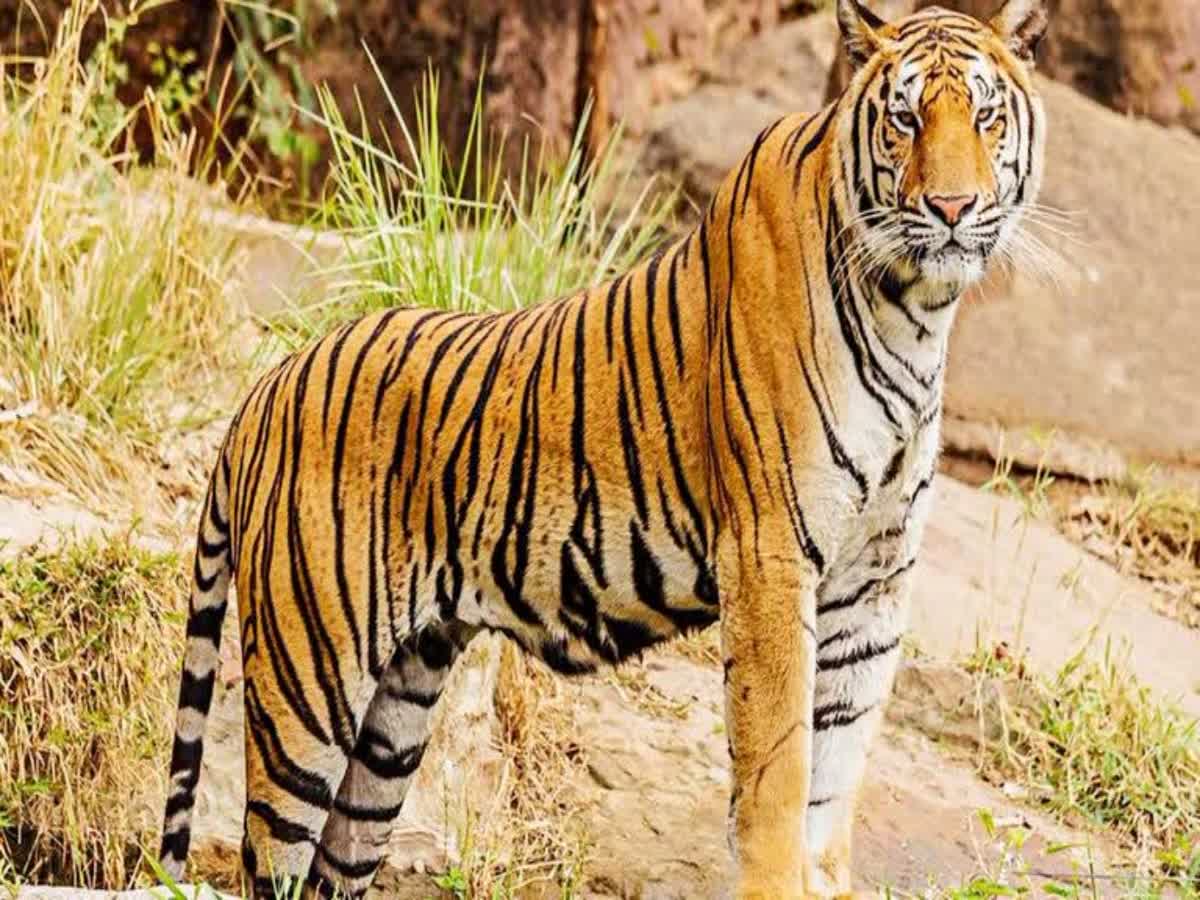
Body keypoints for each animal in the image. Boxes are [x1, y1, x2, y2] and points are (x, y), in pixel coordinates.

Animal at [157, 1, 1048, 896]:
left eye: (985, 115)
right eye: (906, 119)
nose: (952, 207)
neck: (916, 311)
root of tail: (265, 388)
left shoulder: (874, 579)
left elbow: (835, 775)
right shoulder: (769, 555)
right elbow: (779, 772)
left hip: (394, 720)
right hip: (309, 687)